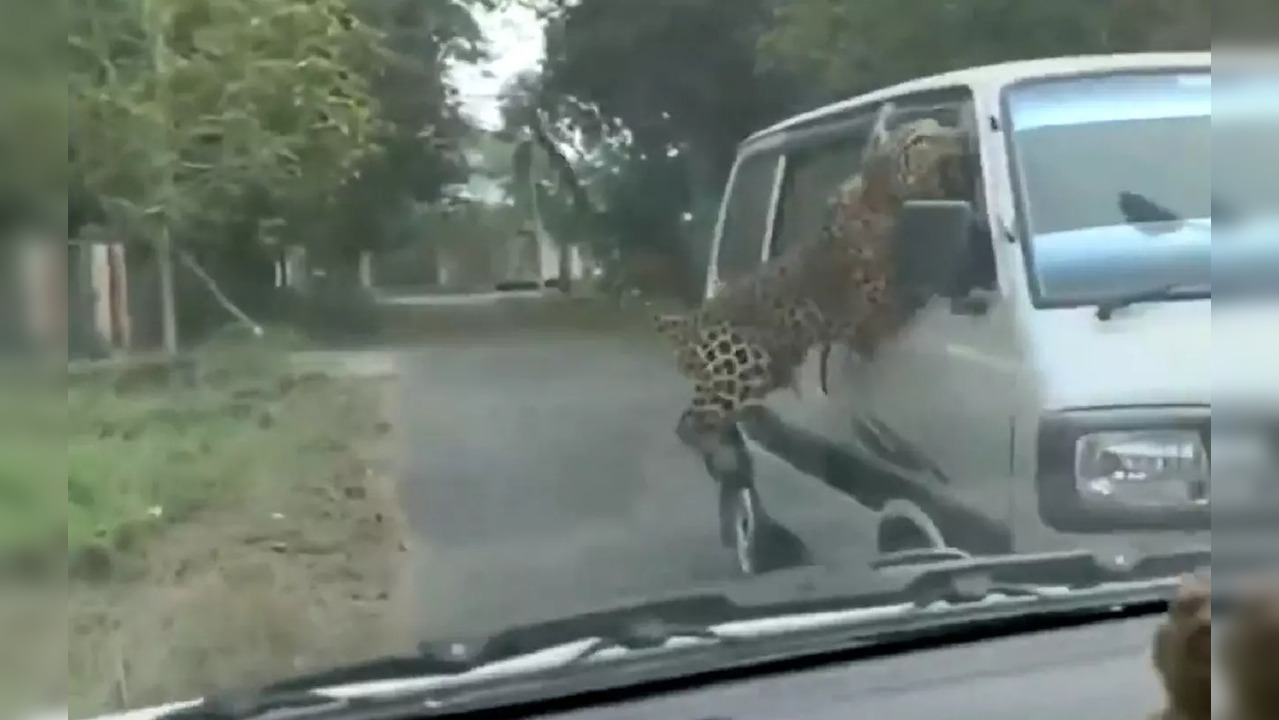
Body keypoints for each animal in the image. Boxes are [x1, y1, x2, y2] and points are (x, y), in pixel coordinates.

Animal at [654, 101, 970, 453]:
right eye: (921, 139)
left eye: (941, 126)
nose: (962, 135)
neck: (881, 200)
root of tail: (689, 321)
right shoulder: (876, 309)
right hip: (741, 360)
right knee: (692, 422)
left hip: (768, 370)